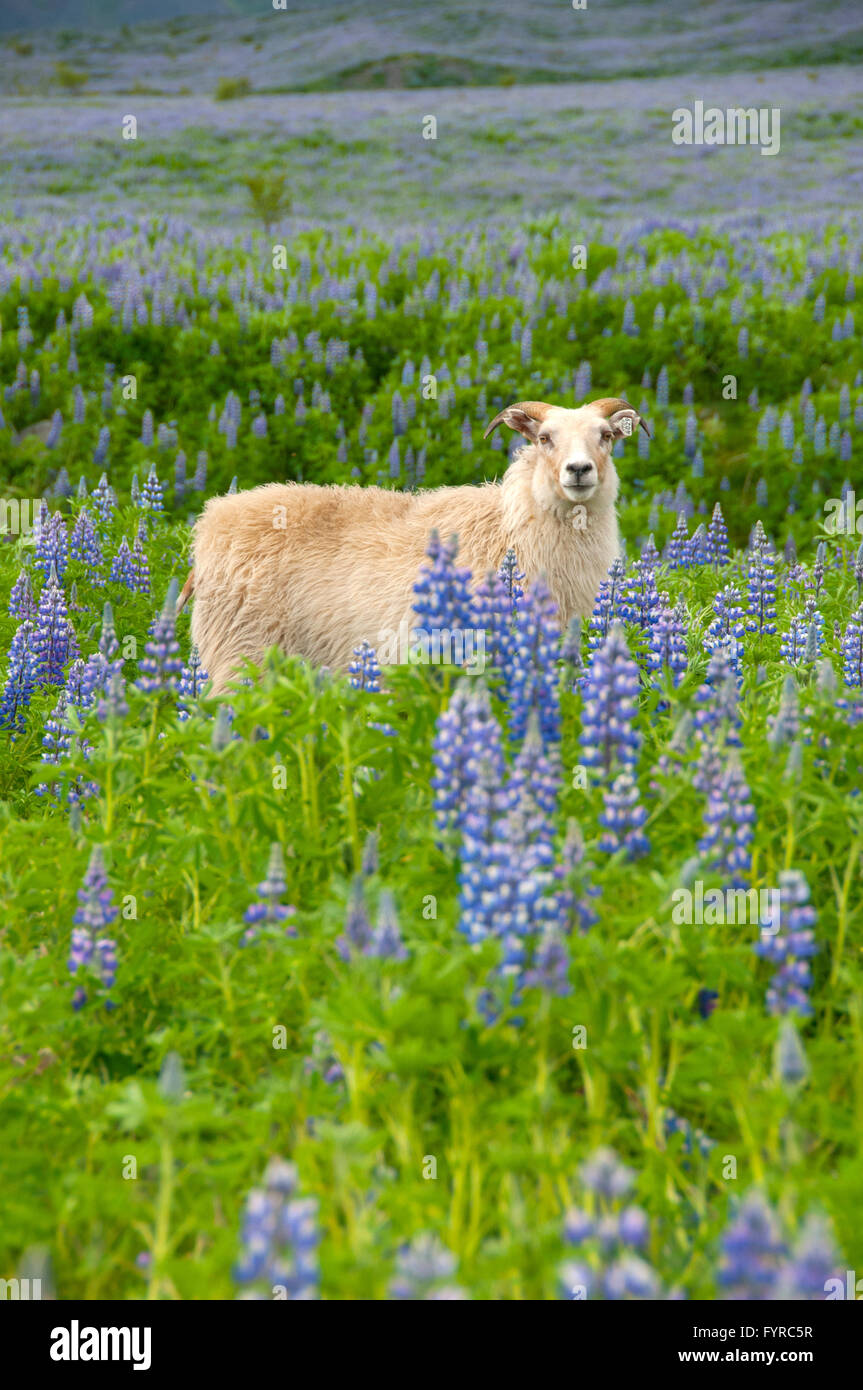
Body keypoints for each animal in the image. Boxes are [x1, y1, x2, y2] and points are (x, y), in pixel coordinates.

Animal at [183, 396, 648, 693]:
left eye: (606, 435)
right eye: (545, 438)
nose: (579, 470)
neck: (508, 526)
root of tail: (211, 523)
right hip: (241, 655)